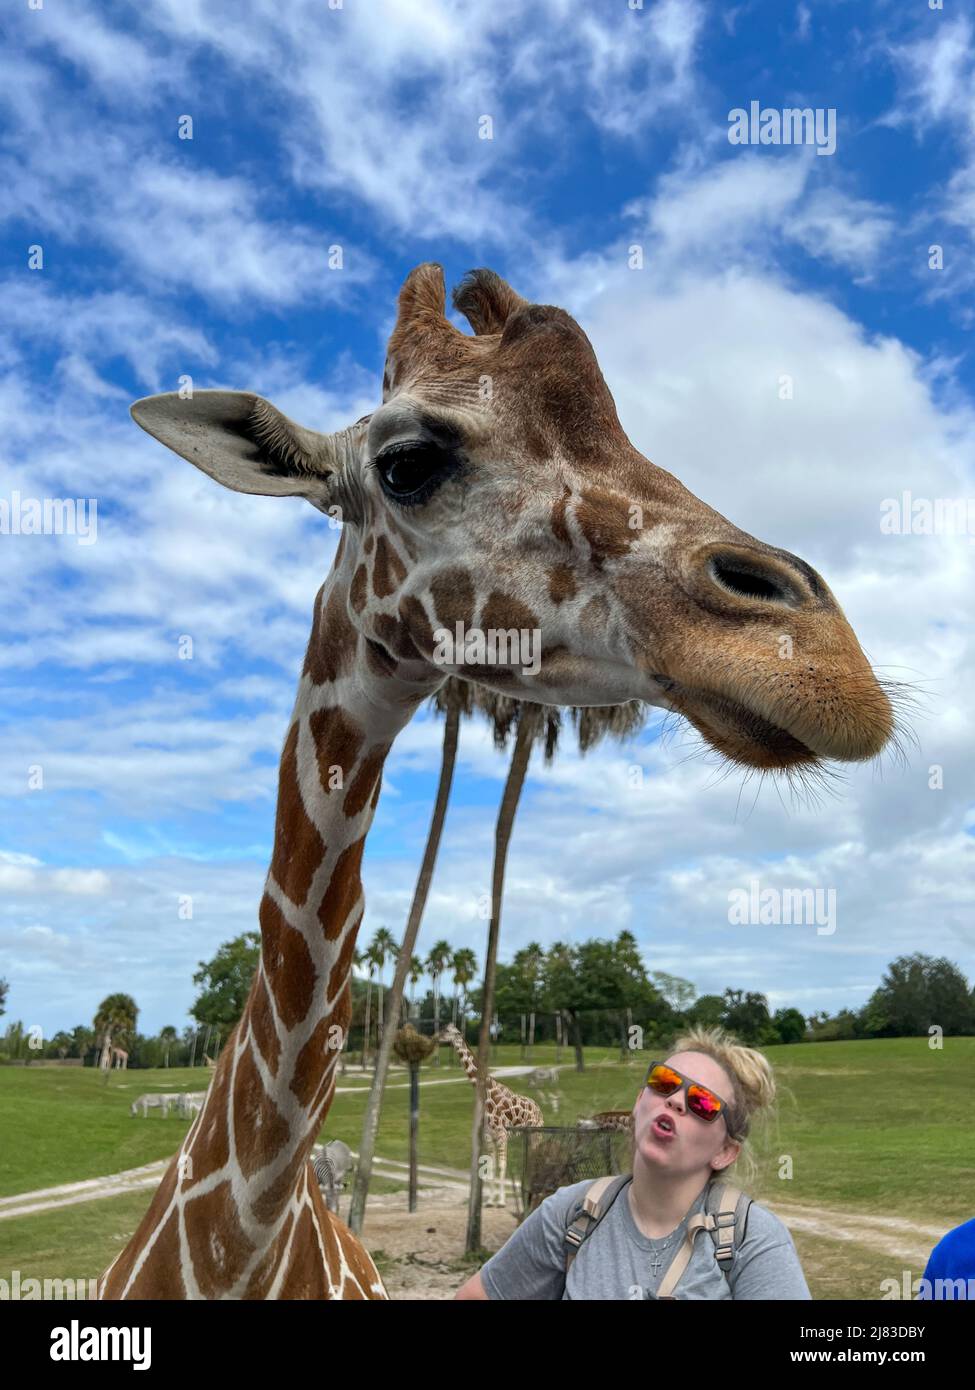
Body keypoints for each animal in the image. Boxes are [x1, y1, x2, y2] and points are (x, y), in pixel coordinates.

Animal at [437, 1024, 543, 1206]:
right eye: (444, 1028)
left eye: (448, 1031)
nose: (436, 1037)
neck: (488, 1095)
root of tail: (539, 1110)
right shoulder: (488, 1135)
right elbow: (491, 1166)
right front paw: (490, 1202)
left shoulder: (502, 1135)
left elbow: (502, 1166)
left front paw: (501, 1202)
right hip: (527, 1135)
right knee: (530, 1158)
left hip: (537, 1133)